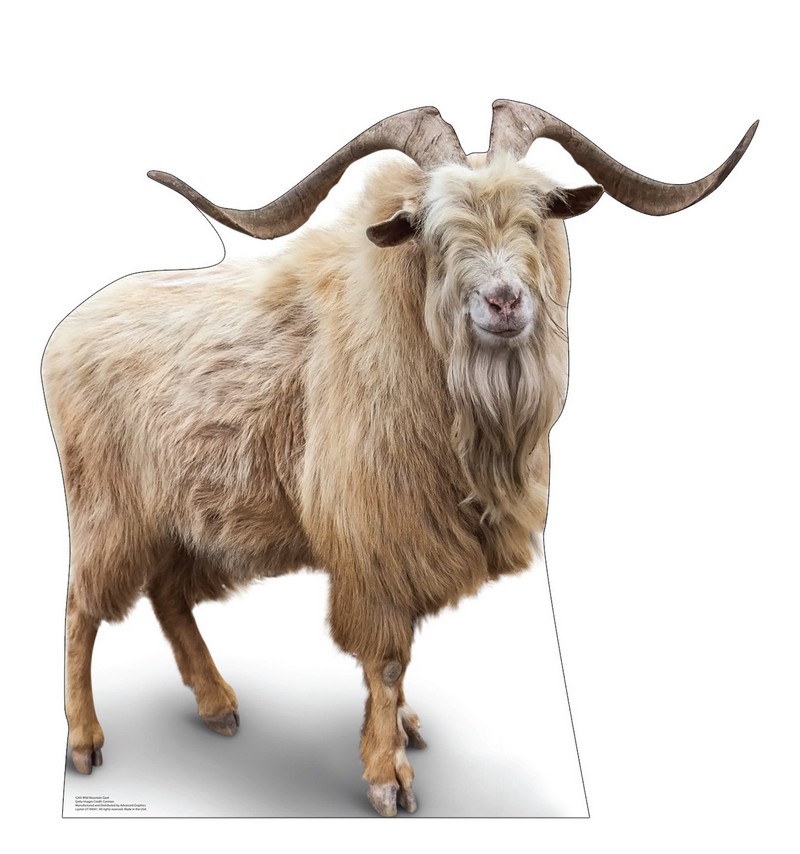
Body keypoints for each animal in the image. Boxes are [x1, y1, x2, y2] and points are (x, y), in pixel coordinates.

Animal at [42, 100, 757, 817]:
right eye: (431, 232)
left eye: (538, 215)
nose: (504, 301)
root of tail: (65, 333)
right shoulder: (375, 540)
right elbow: (386, 660)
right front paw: (388, 777)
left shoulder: (408, 542)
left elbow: (397, 662)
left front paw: (402, 731)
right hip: (107, 508)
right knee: (81, 609)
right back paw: (84, 742)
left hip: (181, 519)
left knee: (166, 595)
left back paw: (217, 705)